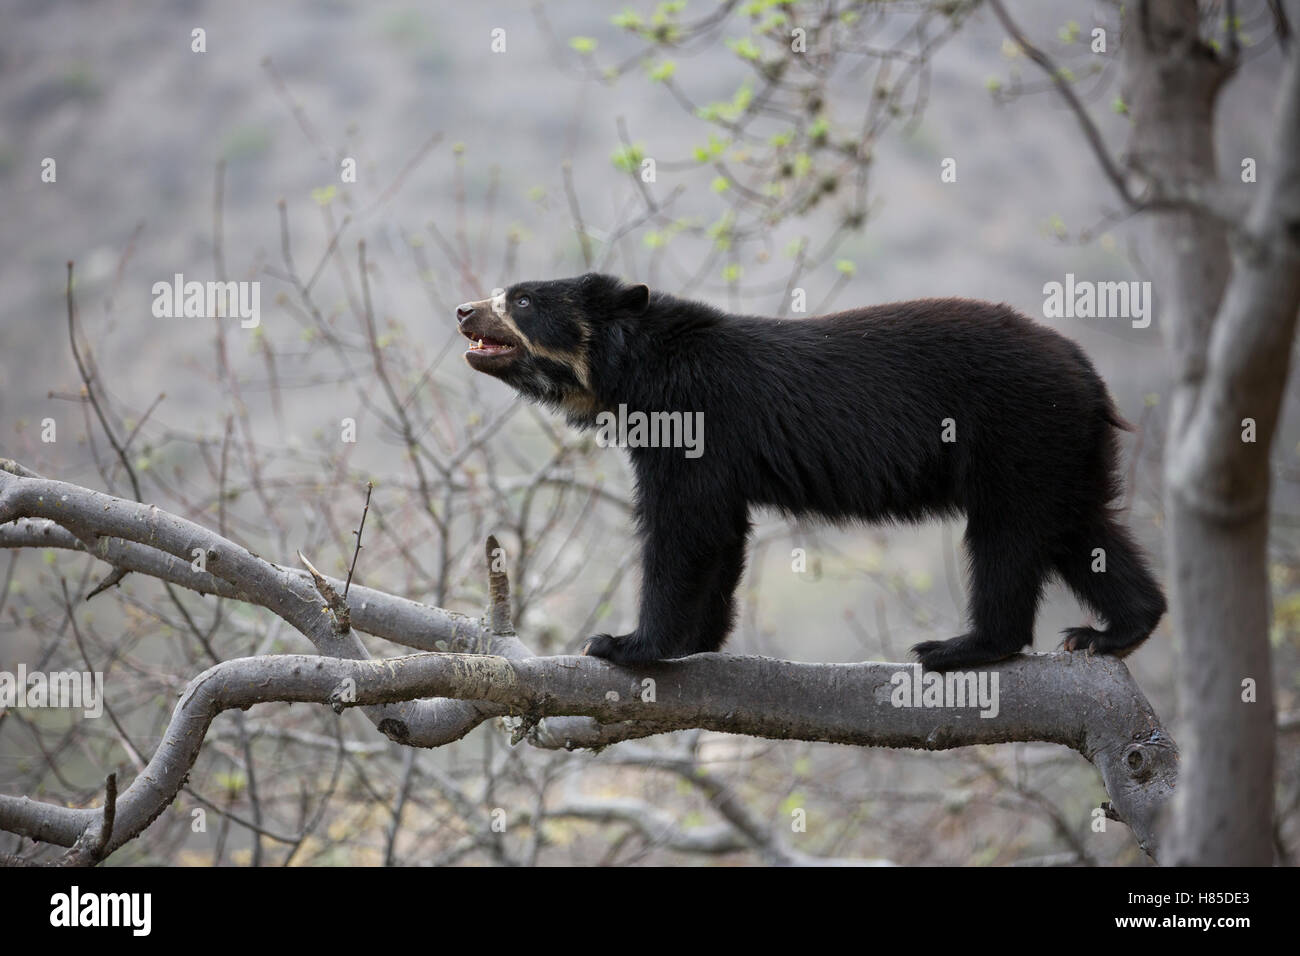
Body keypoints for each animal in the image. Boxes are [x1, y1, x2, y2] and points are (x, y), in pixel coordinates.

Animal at [455, 273, 1166, 671]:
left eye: (522, 299)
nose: (463, 311)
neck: (640, 373)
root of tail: (1087, 373)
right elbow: (720, 534)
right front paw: (697, 642)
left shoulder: (696, 420)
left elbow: (684, 529)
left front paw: (624, 644)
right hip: (1060, 448)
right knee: (1082, 528)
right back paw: (1114, 632)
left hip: (1014, 432)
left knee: (1008, 538)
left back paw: (962, 647)